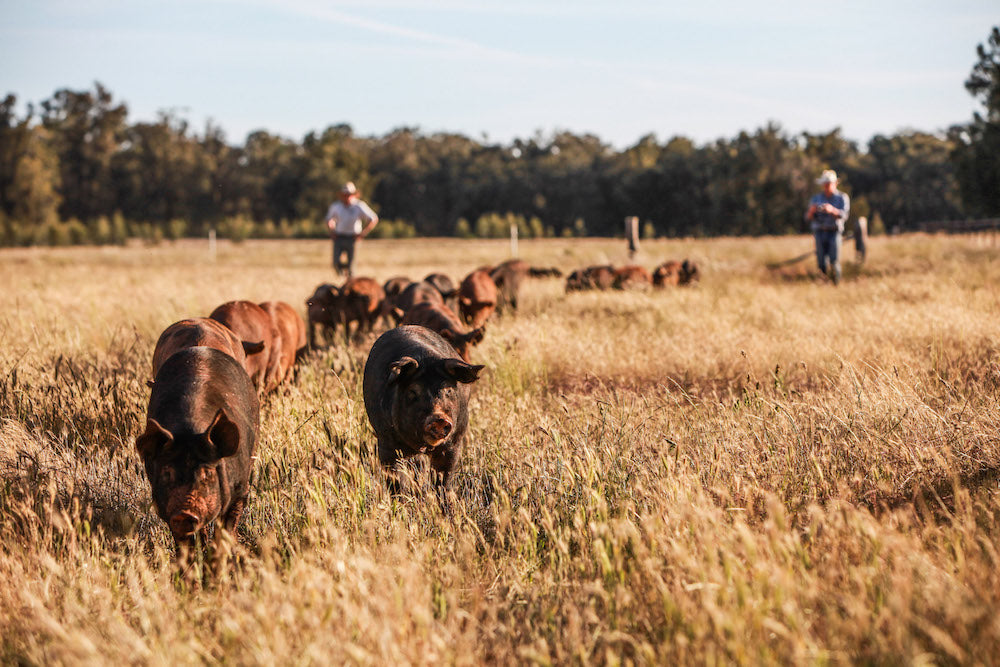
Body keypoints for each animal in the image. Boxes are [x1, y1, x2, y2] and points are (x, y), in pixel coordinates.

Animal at [136, 346, 259, 553]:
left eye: (207, 474)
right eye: (167, 473)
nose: (185, 513)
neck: (189, 431)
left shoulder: (241, 490)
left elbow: (226, 531)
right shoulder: (165, 506)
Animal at [363, 325, 484, 493]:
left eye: (448, 390)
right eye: (413, 392)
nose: (438, 418)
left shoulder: (455, 442)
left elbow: (443, 480)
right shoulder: (386, 442)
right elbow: (395, 481)